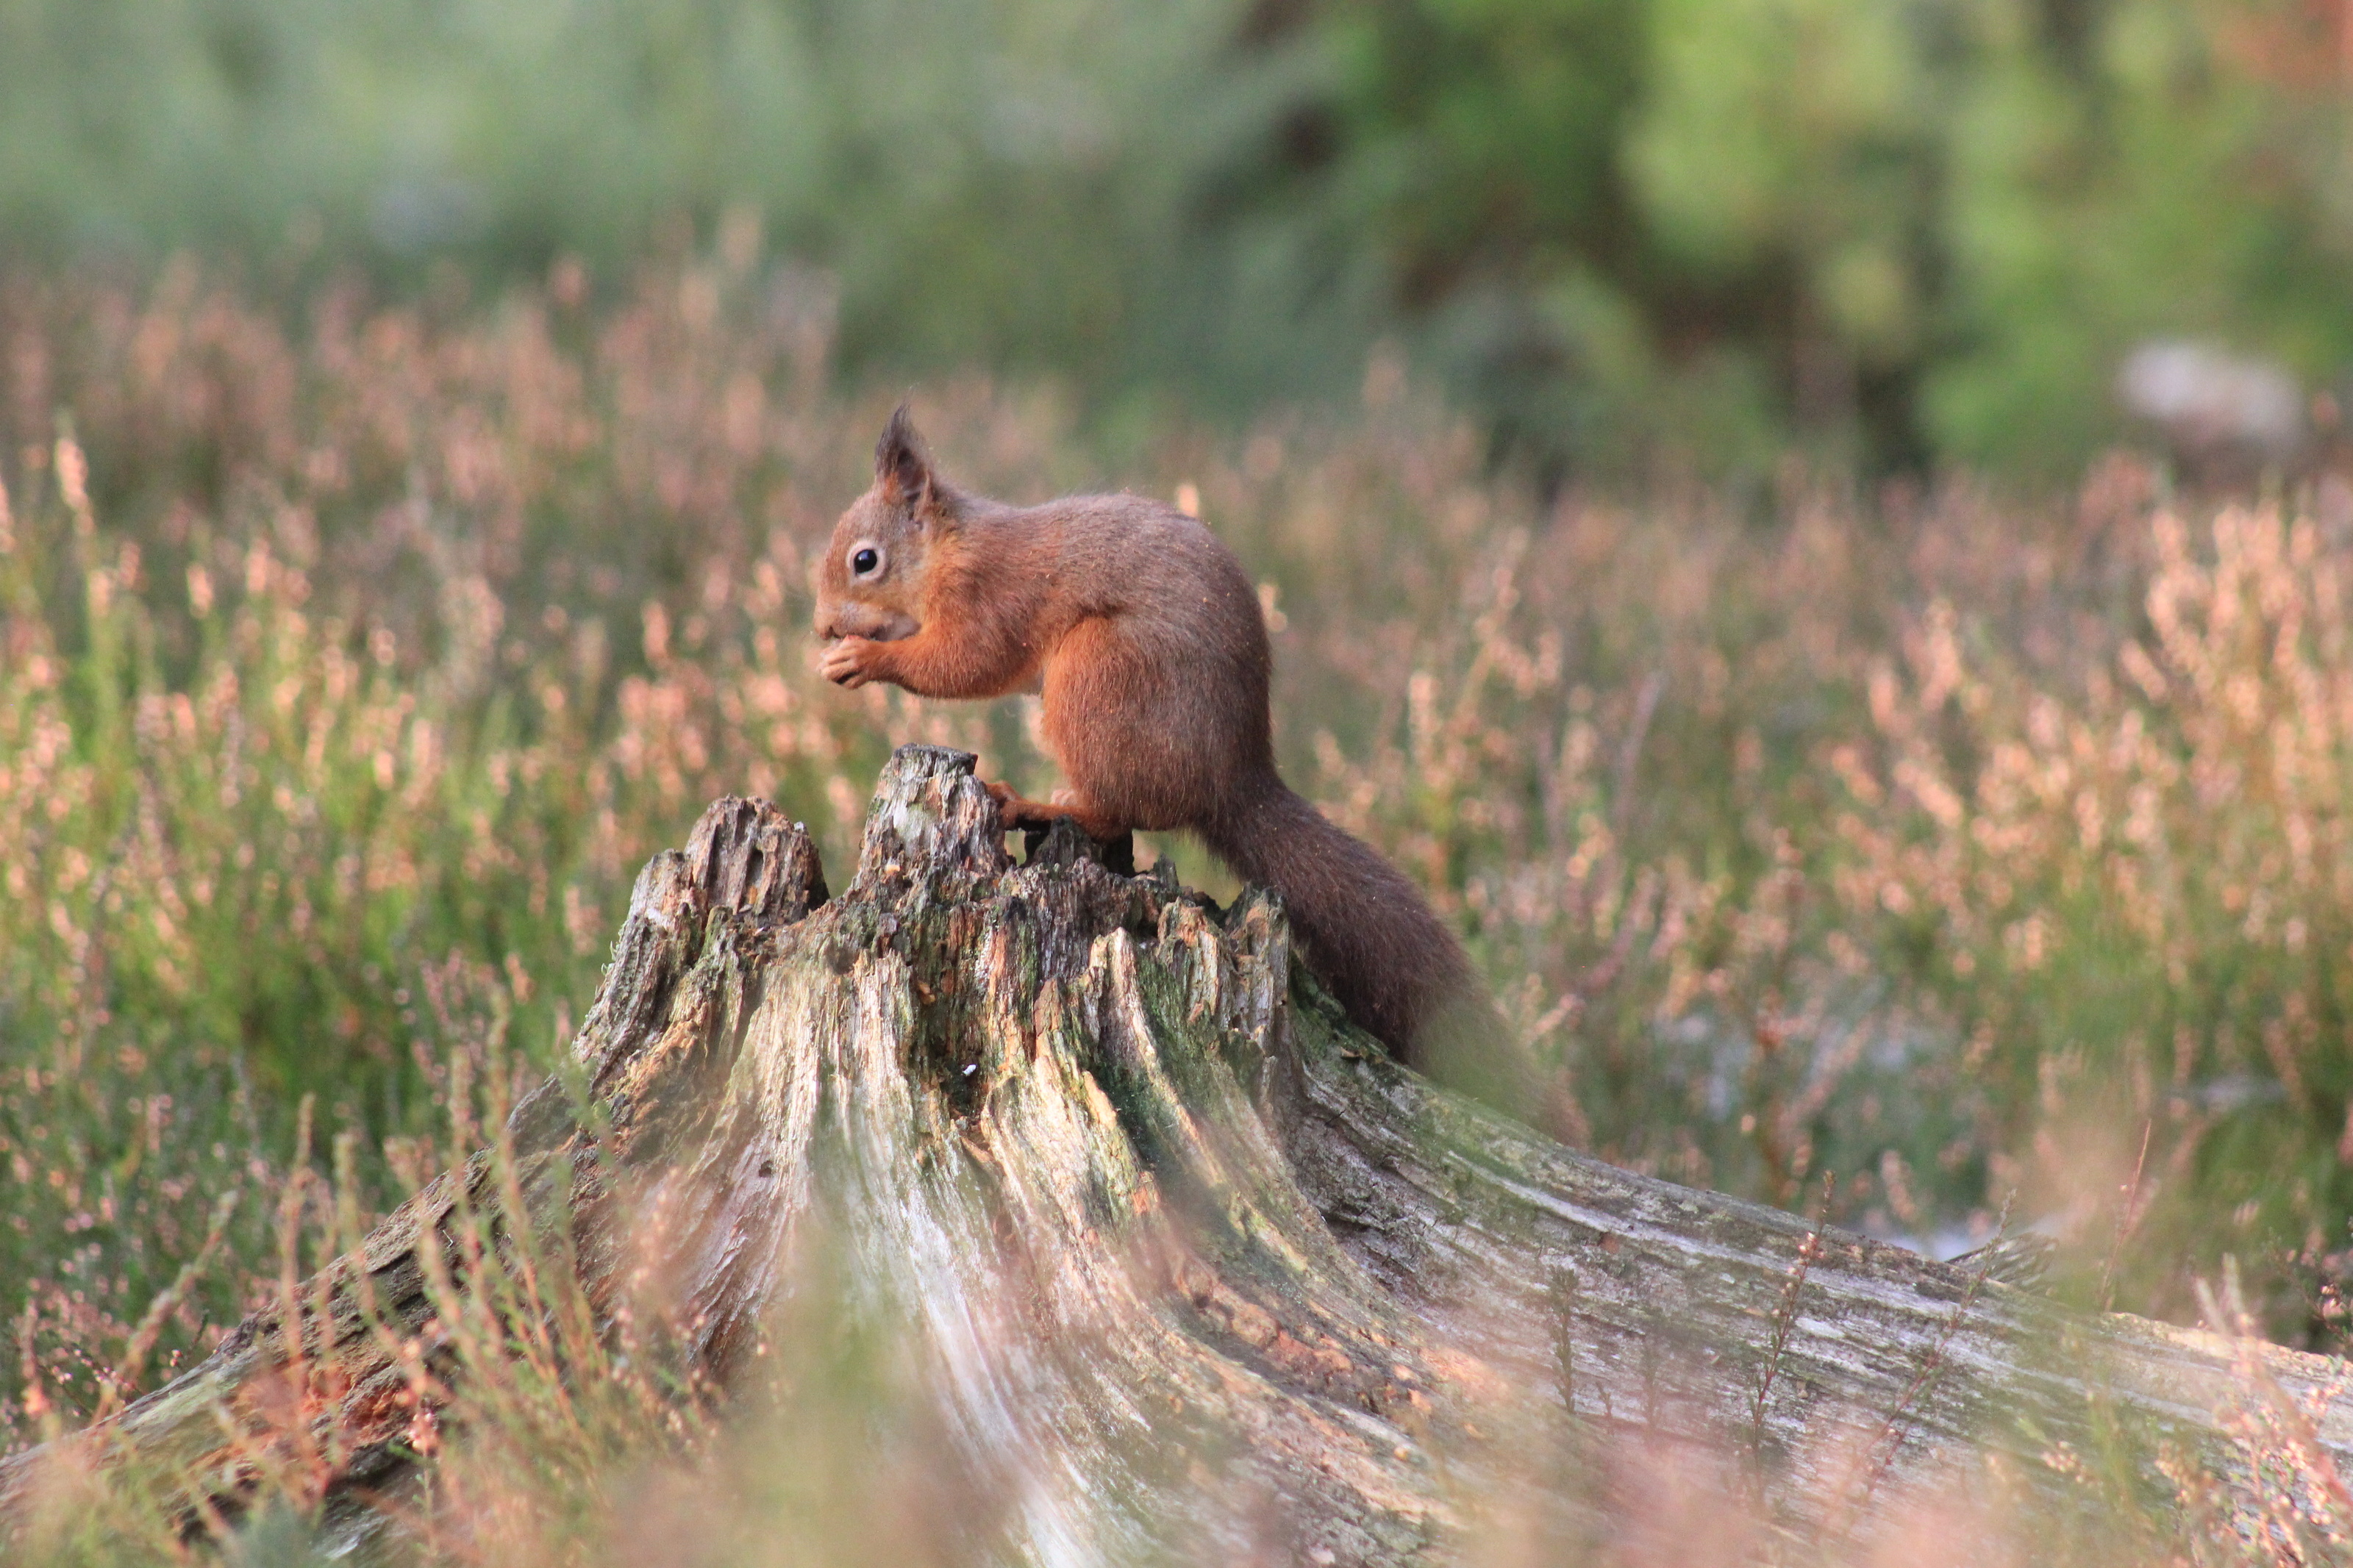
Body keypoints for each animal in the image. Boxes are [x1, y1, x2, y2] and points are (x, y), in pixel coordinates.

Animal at [814, 408, 1519, 1100]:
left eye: (865, 560)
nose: (822, 625)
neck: (948, 551)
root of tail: (1233, 781)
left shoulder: (988, 598)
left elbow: (962, 663)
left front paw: (866, 658)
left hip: (1096, 677)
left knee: (1112, 811)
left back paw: (1032, 802)